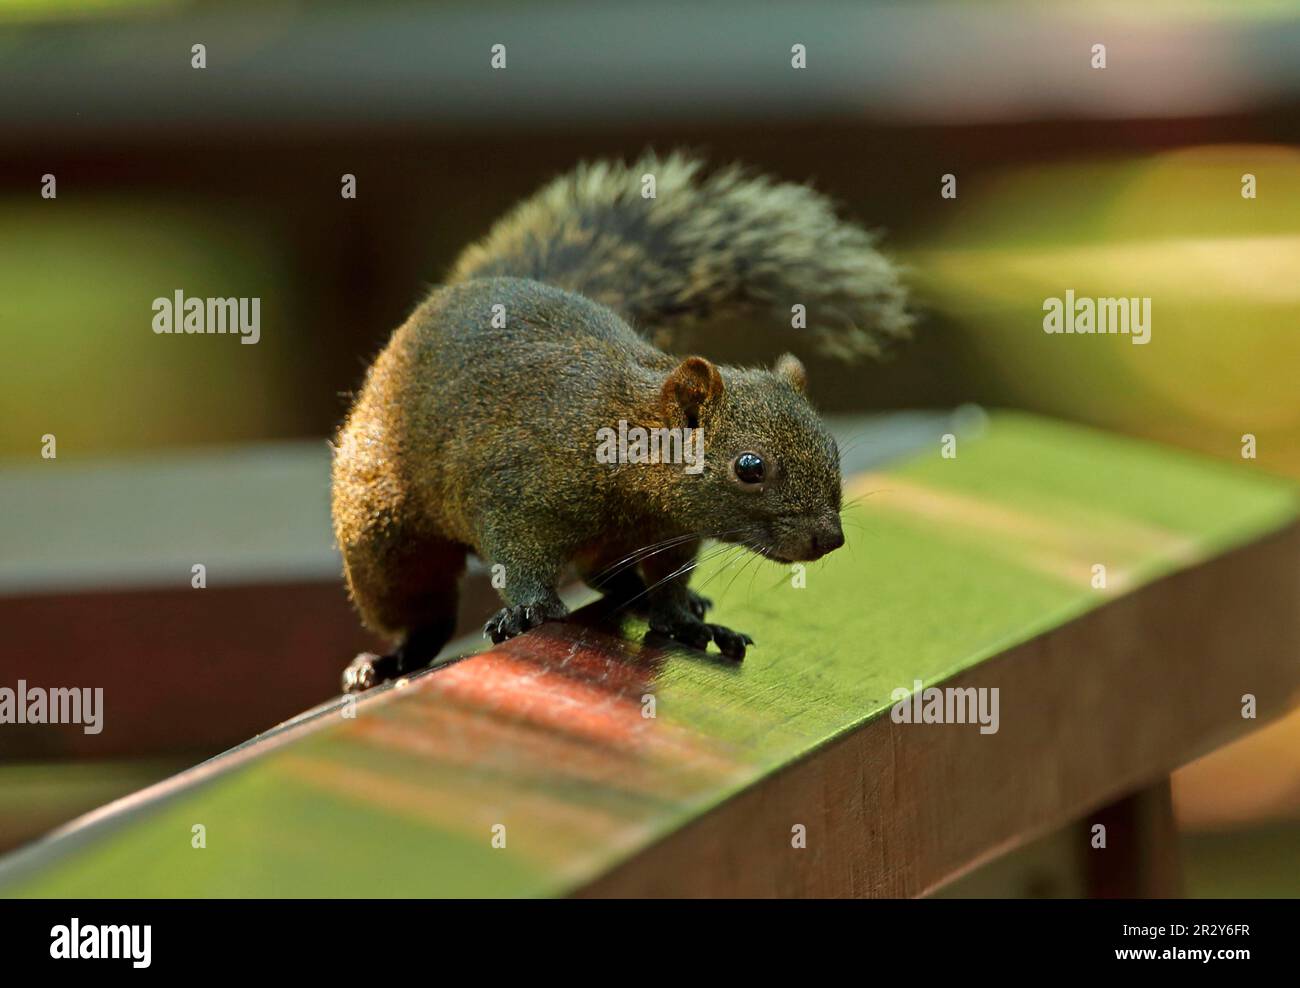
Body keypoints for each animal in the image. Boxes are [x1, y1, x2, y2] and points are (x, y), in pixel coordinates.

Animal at [332, 152, 910, 692]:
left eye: (831, 448)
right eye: (750, 467)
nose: (828, 538)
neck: (623, 436)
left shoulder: (671, 534)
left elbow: (669, 583)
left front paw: (683, 619)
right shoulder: (512, 488)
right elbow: (517, 558)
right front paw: (529, 610)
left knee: (603, 575)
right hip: (383, 538)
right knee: (420, 611)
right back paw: (387, 662)